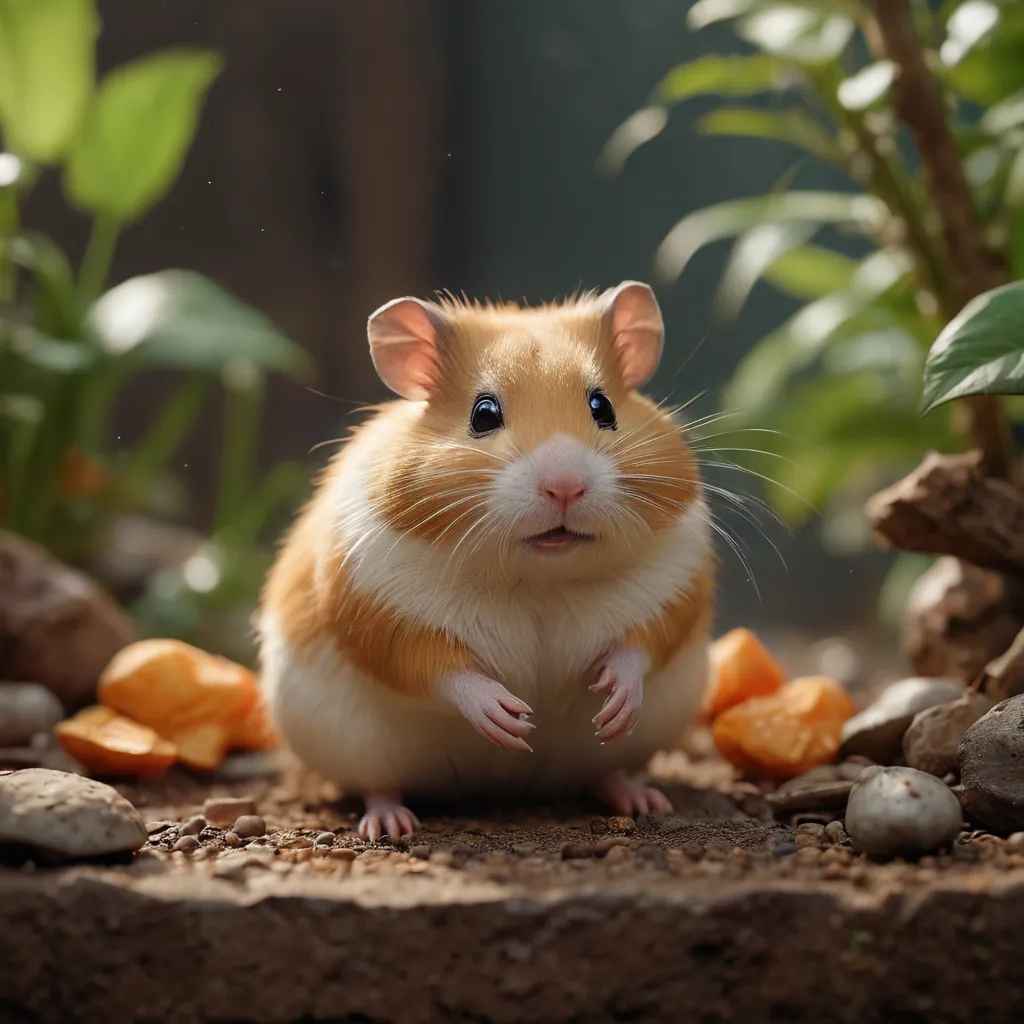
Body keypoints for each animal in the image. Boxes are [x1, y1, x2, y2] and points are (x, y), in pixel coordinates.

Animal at [257, 281, 714, 841]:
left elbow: (640, 646)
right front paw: (512, 718)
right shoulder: (374, 606)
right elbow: (439, 668)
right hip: (352, 744)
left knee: (606, 771)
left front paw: (612, 701)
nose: (565, 486)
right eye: (484, 414)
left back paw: (642, 799)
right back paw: (390, 824)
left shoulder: (679, 582)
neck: (539, 578)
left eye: (603, 406)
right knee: (378, 784)